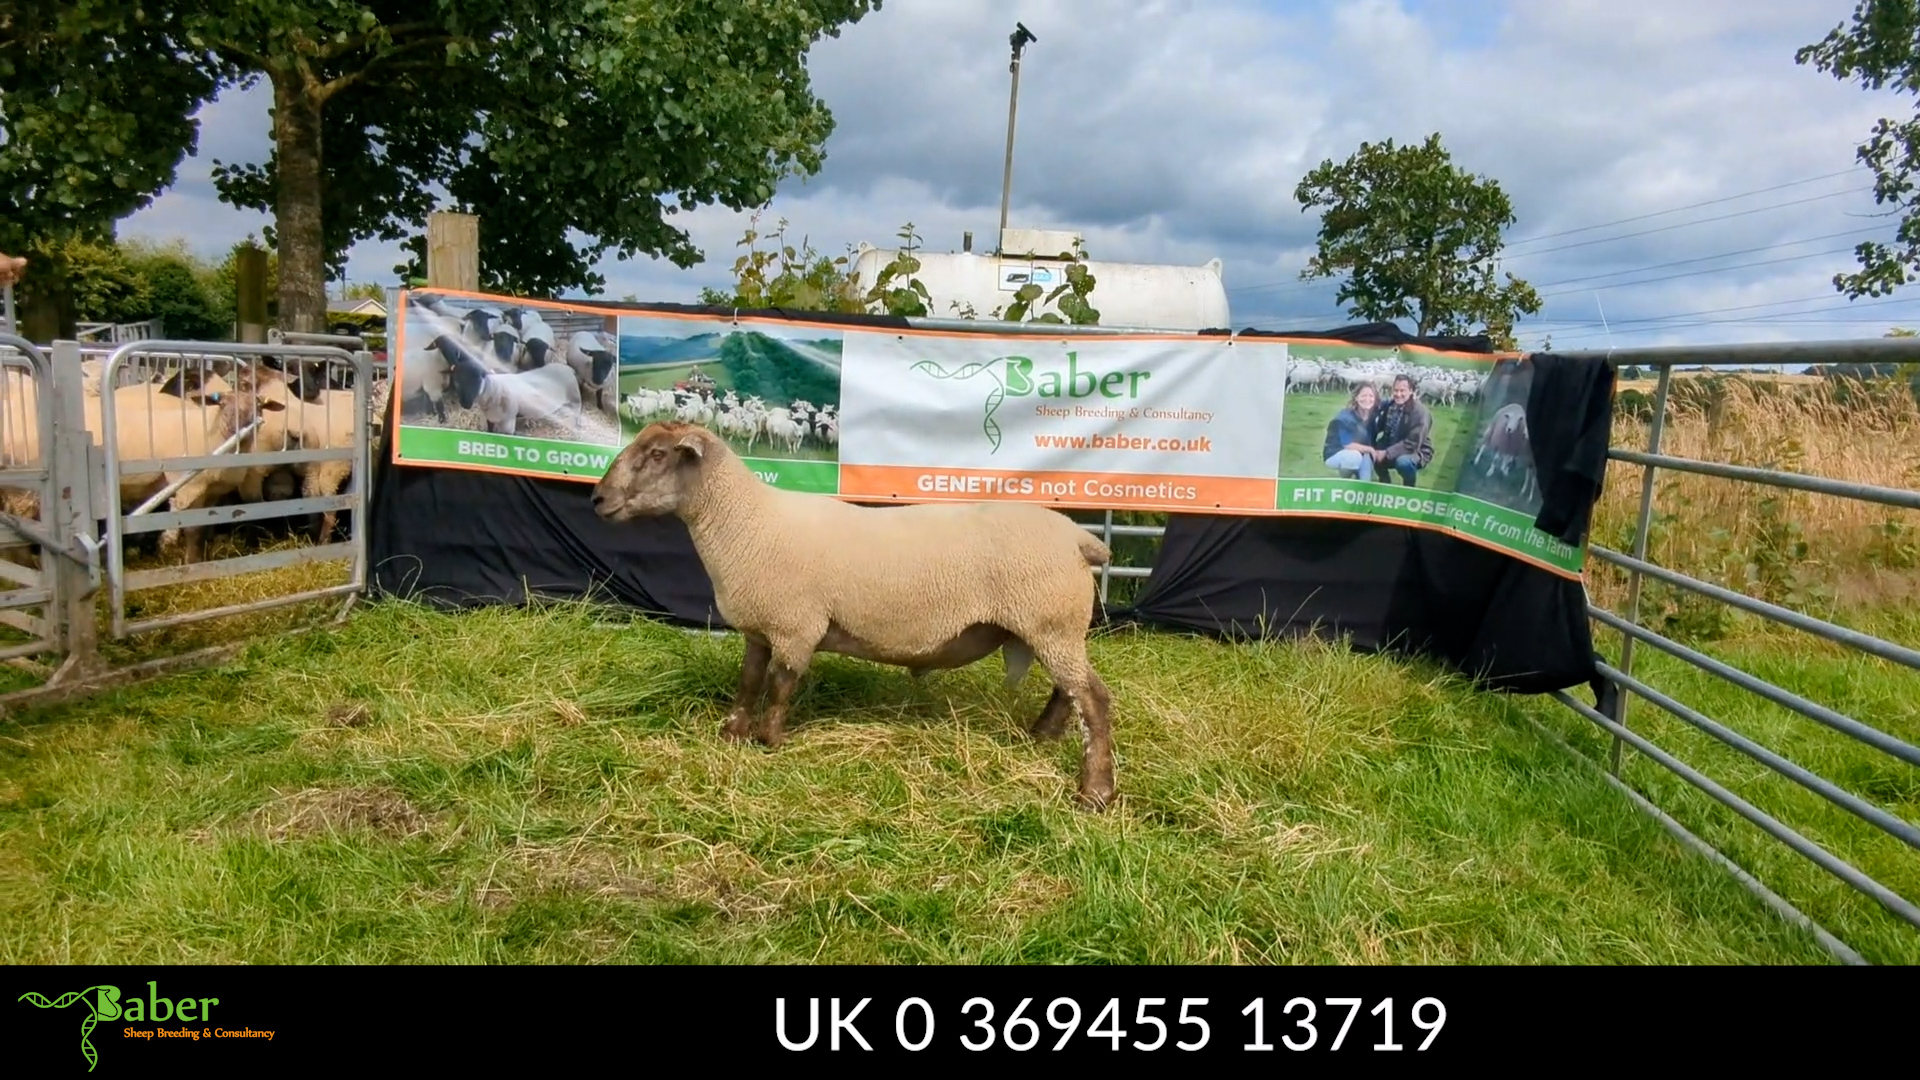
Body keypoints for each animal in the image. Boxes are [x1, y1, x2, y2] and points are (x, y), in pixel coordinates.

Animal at [590, 420, 1120, 810]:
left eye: (658, 455)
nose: (596, 499)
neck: (743, 522)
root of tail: (1078, 537)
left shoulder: (796, 624)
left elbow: (780, 685)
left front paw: (769, 740)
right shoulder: (761, 627)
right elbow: (748, 680)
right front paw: (732, 733)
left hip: (1050, 622)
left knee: (1093, 699)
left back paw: (1094, 791)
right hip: (1052, 628)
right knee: (1067, 692)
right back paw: (1042, 737)